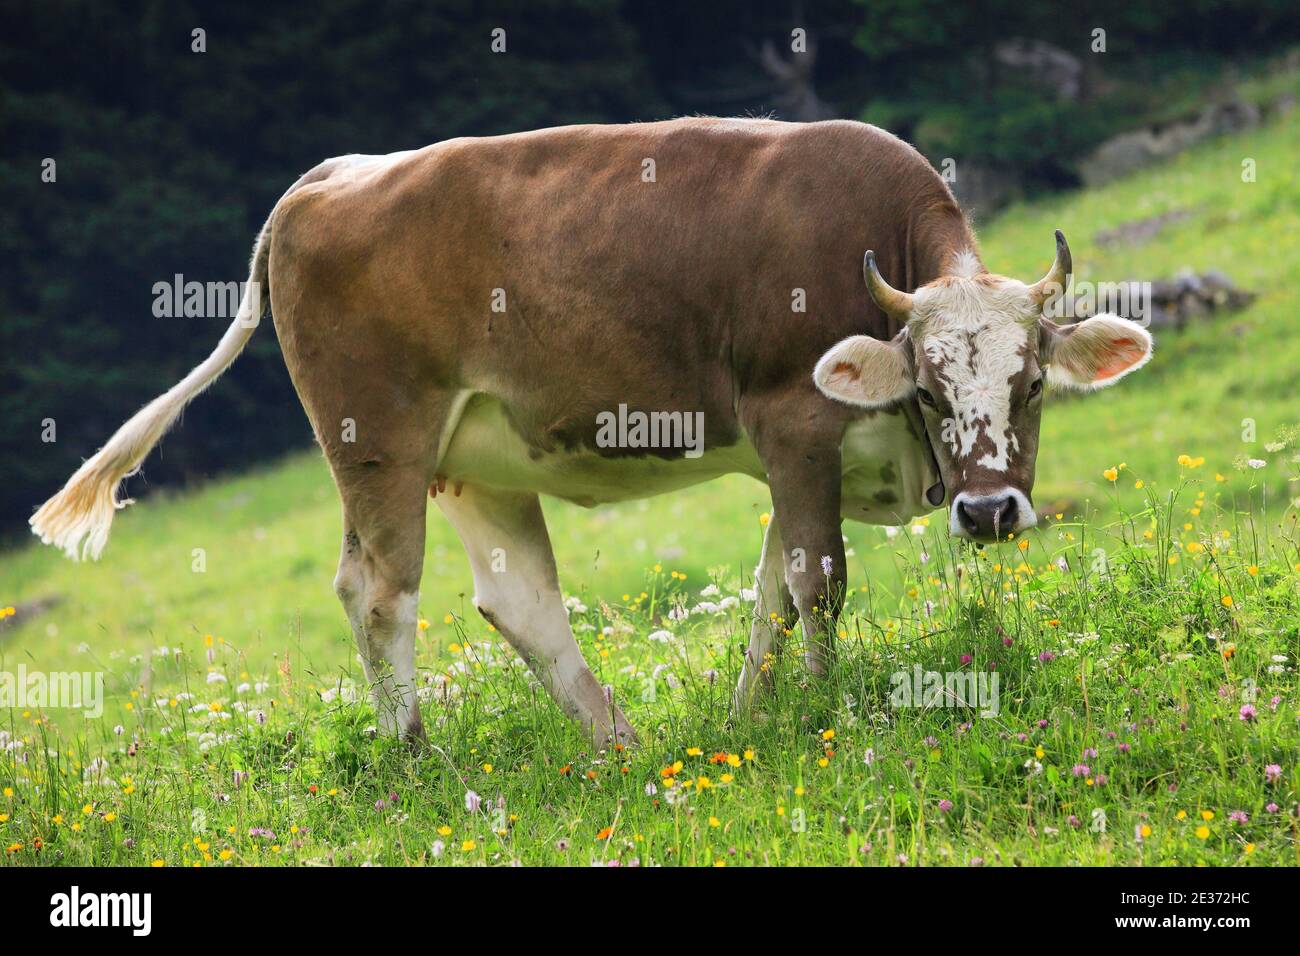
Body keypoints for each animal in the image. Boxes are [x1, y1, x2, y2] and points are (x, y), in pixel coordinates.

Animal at [30, 118, 1152, 747]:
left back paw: (620, 745)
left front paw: (751, 720)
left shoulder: (799, 460)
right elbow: (817, 581)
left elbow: (767, 593)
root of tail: (327, 177)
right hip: (376, 437)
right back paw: (417, 757)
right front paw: (826, 710)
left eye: (1031, 384)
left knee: (518, 600)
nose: (988, 510)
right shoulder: (792, 420)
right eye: (928, 383)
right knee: (376, 590)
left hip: (474, 456)